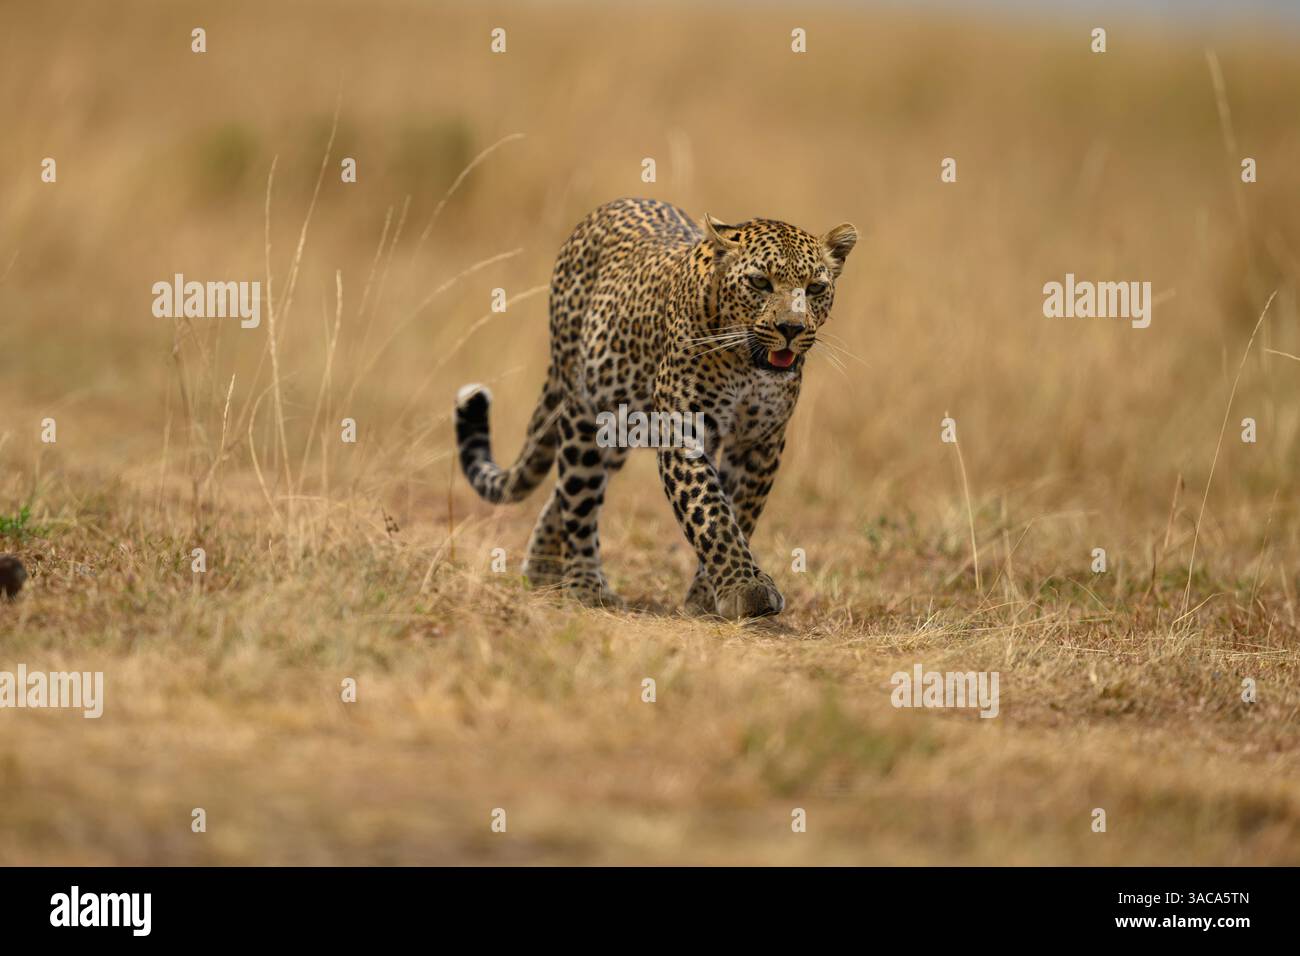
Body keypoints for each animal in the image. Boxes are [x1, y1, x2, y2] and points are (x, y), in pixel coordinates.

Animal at [455, 197, 857, 619]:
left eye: (815, 288)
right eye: (760, 283)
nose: (791, 329)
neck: (747, 363)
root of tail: (605, 209)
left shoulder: (761, 442)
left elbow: (740, 512)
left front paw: (708, 595)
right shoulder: (683, 432)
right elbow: (711, 512)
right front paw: (744, 588)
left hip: (618, 431)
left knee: (563, 492)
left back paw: (541, 570)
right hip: (584, 412)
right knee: (578, 495)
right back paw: (585, 585)